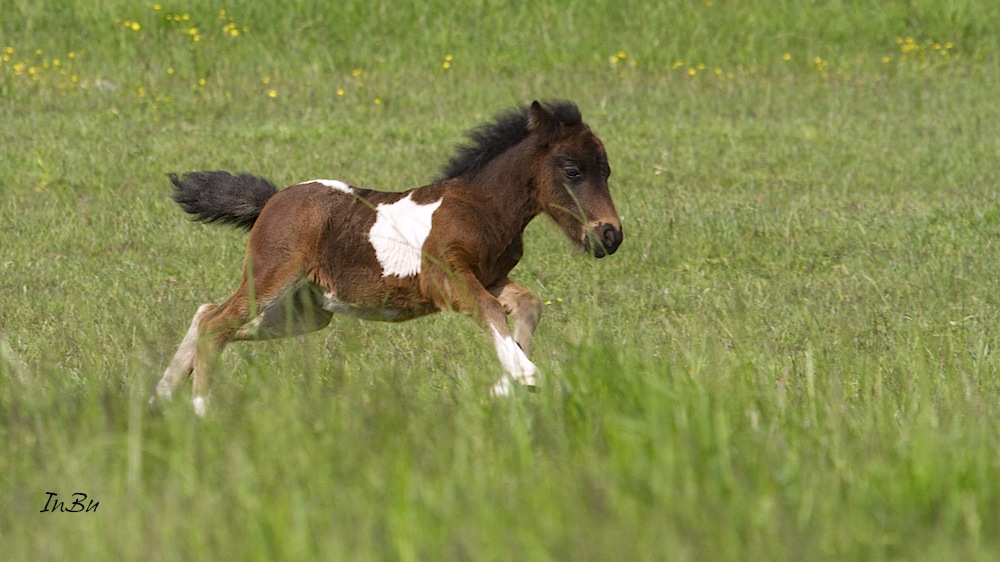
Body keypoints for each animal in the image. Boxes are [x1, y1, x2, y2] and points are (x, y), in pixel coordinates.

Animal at [153, 100, 623, 416]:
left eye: (607, 170)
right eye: (572, 170)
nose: (610, 235)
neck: (482, 207)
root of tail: (272, 200)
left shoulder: (490, 277)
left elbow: (527, 304)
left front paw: (503, 384)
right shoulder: (447, 278)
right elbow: (492, 313)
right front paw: (523, 376)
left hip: (305, 310)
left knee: (208, 315)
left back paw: (159, 399)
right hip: (272, 278)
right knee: (215, 323)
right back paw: (200, 411)